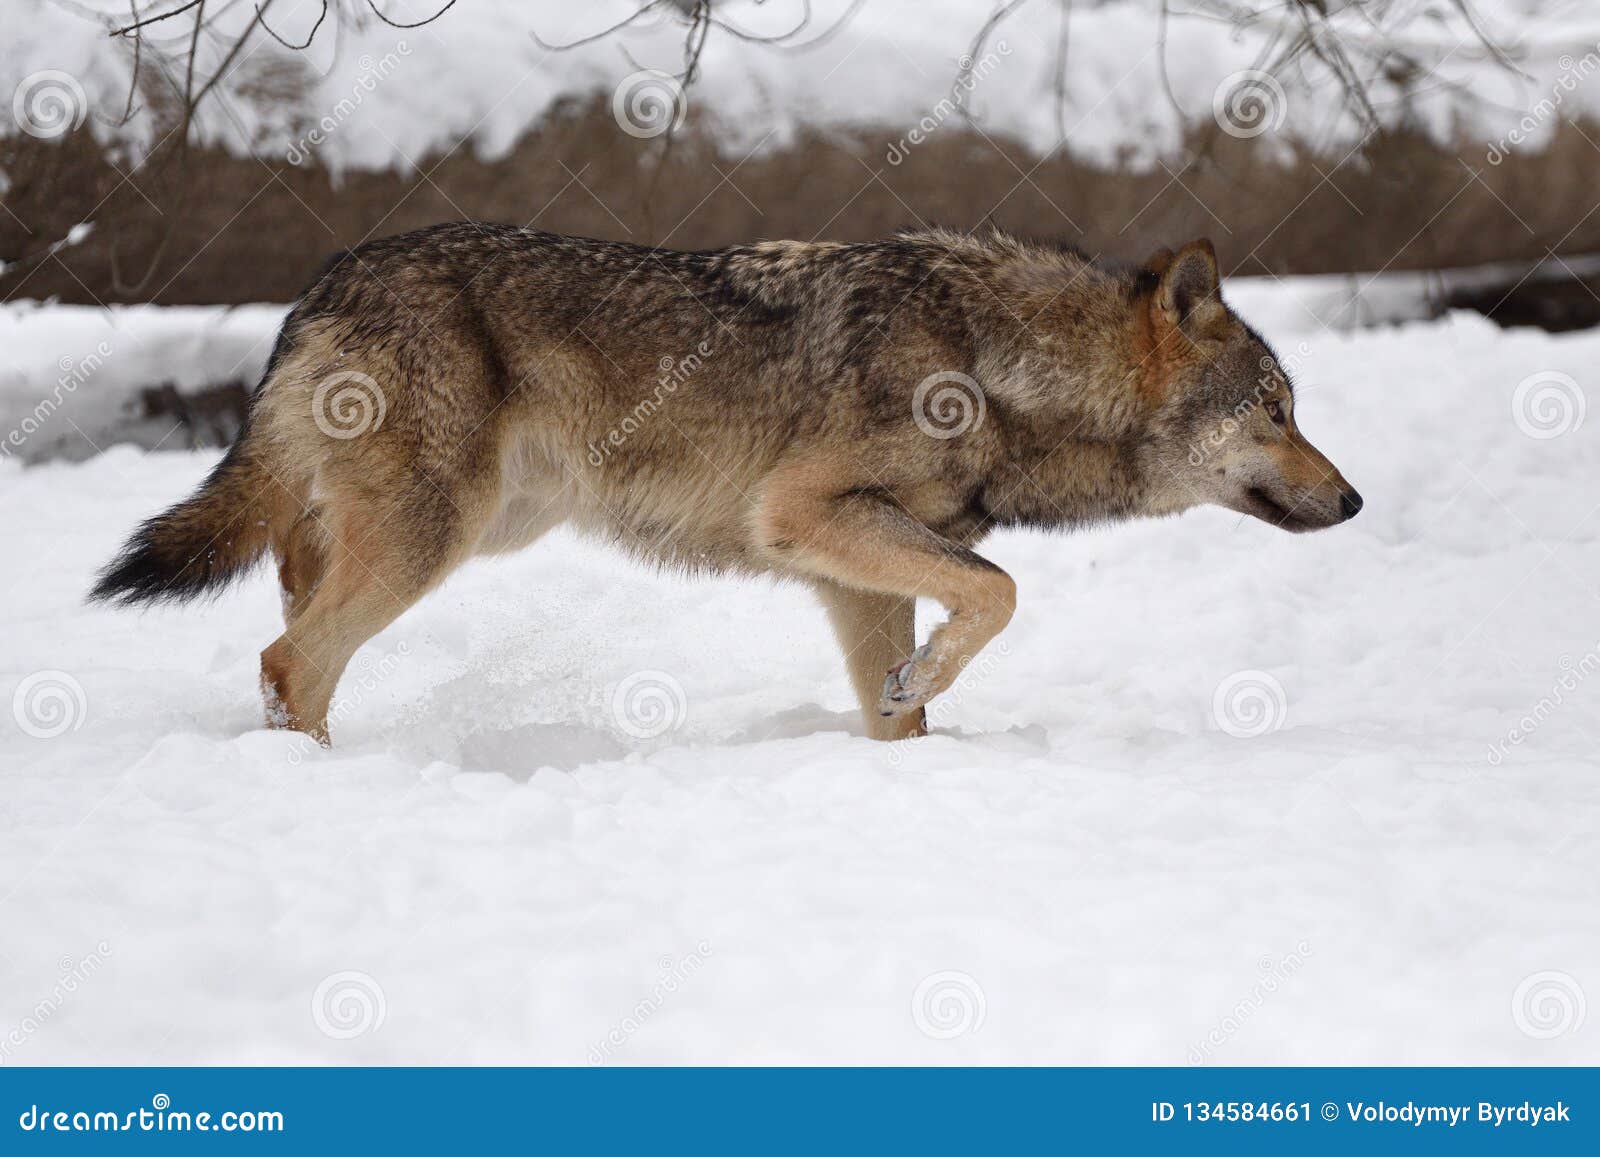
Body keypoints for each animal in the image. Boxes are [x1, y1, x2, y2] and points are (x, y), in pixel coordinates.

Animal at [90, 225, 1361, 743]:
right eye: (1277, 408)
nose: (1351, 501)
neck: (1001, 366)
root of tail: (326, 278)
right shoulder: (803, 515)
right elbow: (1001, 590)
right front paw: (925, 682)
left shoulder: (851, 574)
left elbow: (904, 703)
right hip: (436, 538)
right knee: (290, 658)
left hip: (473, 525)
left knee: (292, 598)